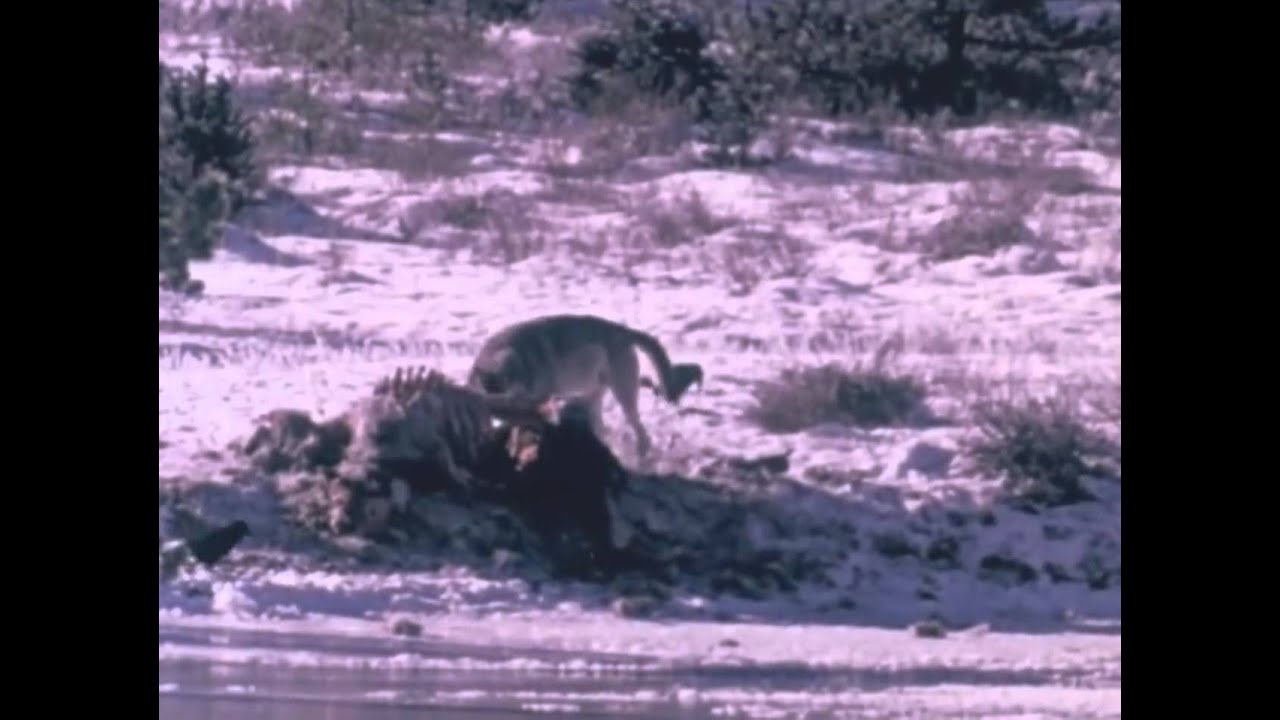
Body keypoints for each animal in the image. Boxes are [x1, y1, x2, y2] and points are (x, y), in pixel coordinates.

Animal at [466, 314, 704, 458]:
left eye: (510, 387)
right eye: (496, 394)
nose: (511, 401)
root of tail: (625, 331)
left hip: (623, 398)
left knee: (643, 437)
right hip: (594, 400)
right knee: (606, 432)